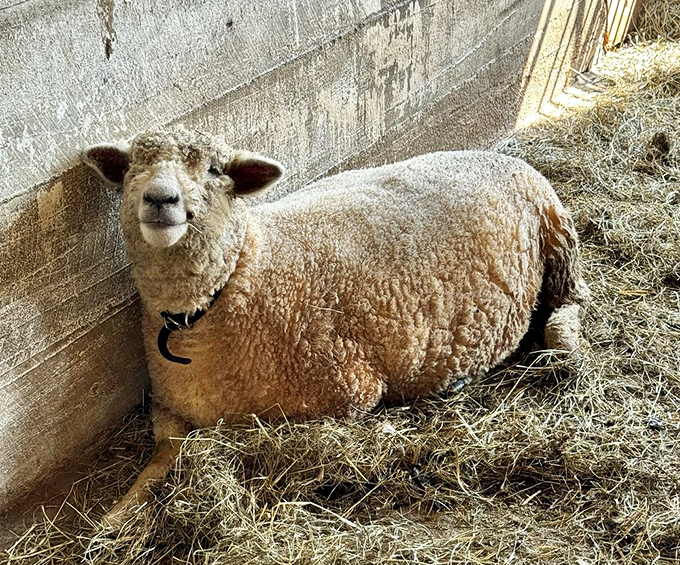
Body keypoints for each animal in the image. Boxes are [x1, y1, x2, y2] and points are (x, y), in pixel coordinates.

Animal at [82, 128, 589, 526]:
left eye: (213, 170)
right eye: (131, 169)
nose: (159, 199)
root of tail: (505, 157)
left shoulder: (344, 393)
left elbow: (206, 444)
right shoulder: (167, 406)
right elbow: (162, 455)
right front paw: (115, 515)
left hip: (559, 243)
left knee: (568, 307)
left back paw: (560, 348)